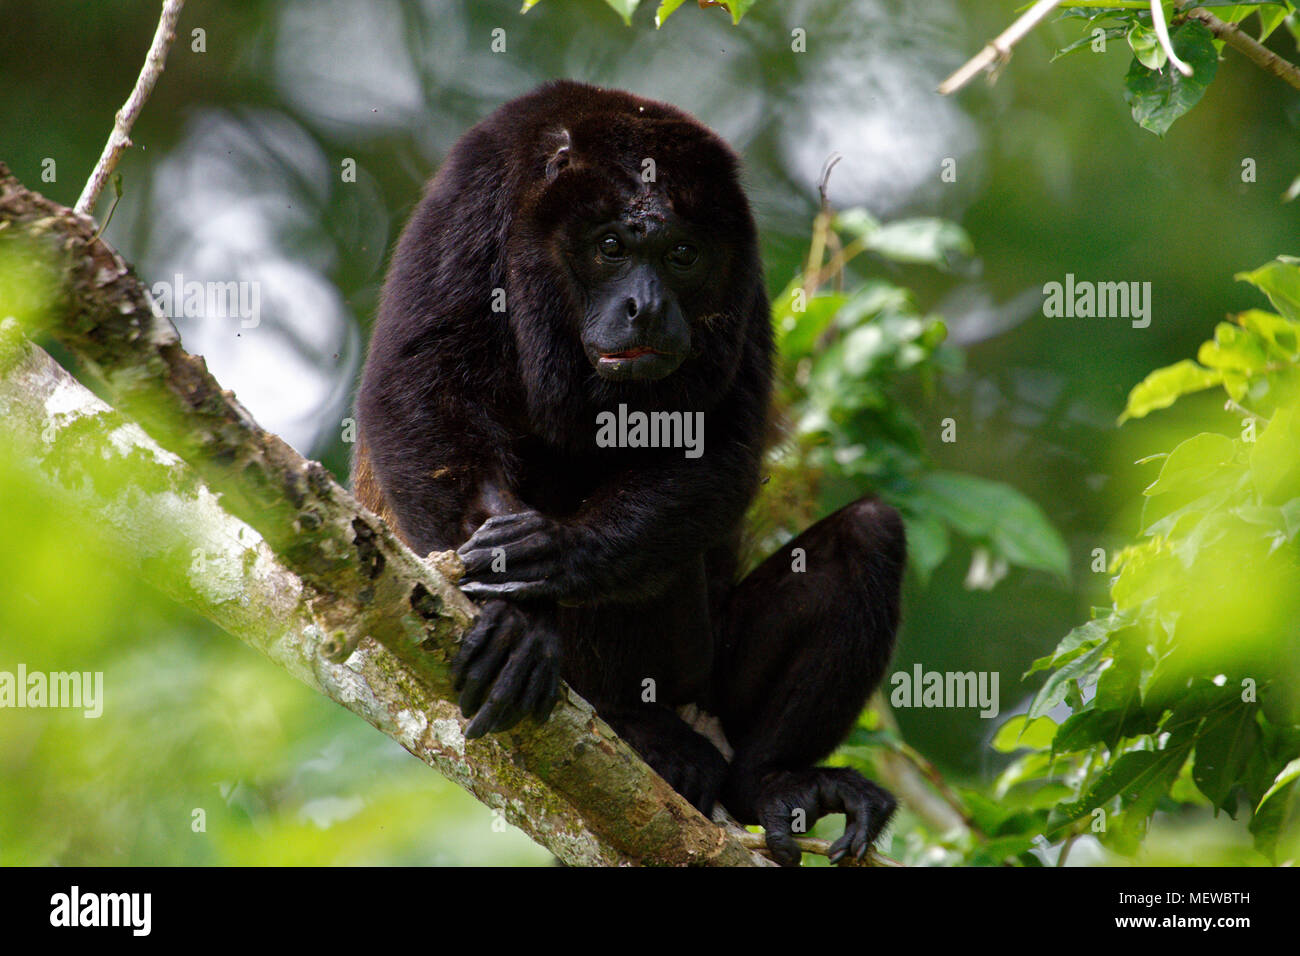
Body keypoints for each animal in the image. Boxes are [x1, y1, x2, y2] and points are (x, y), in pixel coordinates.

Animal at [353, 78, 904, 863]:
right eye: (610, 247)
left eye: (683, 255)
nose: (646, 307)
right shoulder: (474, 189)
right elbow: (416, 388)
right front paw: (513, 618)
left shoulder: (745, 274)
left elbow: (720, 448)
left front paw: (560, 552)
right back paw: (632, 725)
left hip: (707, 674)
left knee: (870, 533)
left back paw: (769, 780)